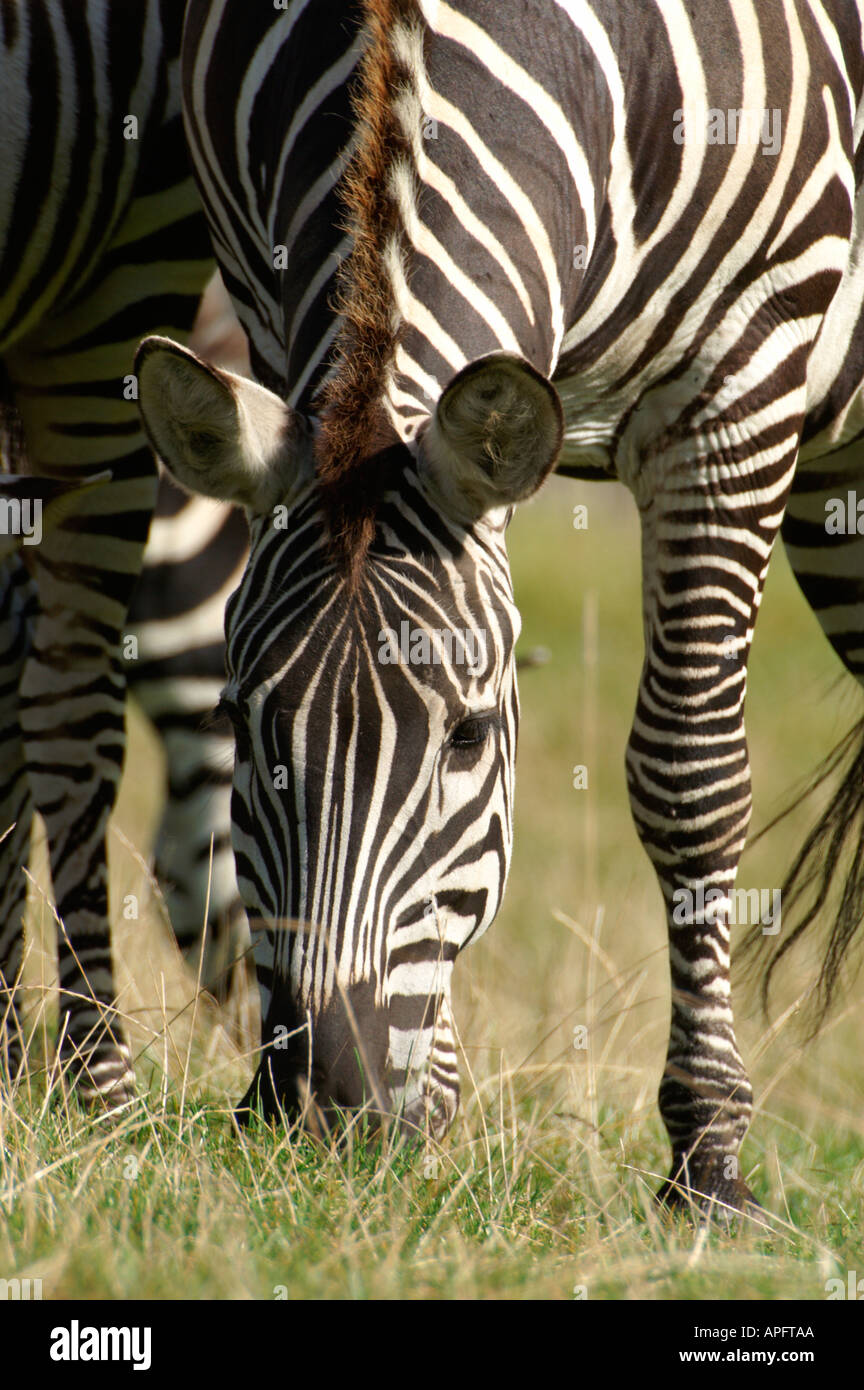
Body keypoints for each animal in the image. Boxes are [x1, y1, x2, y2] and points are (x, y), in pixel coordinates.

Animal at [137, 0, 864, 1212]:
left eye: (471, 737)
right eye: (243, 723)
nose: (324, 1112)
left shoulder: (742, 368)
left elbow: (691, 776)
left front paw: (709, 1163)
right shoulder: (272, 305)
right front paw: (430, 1098)